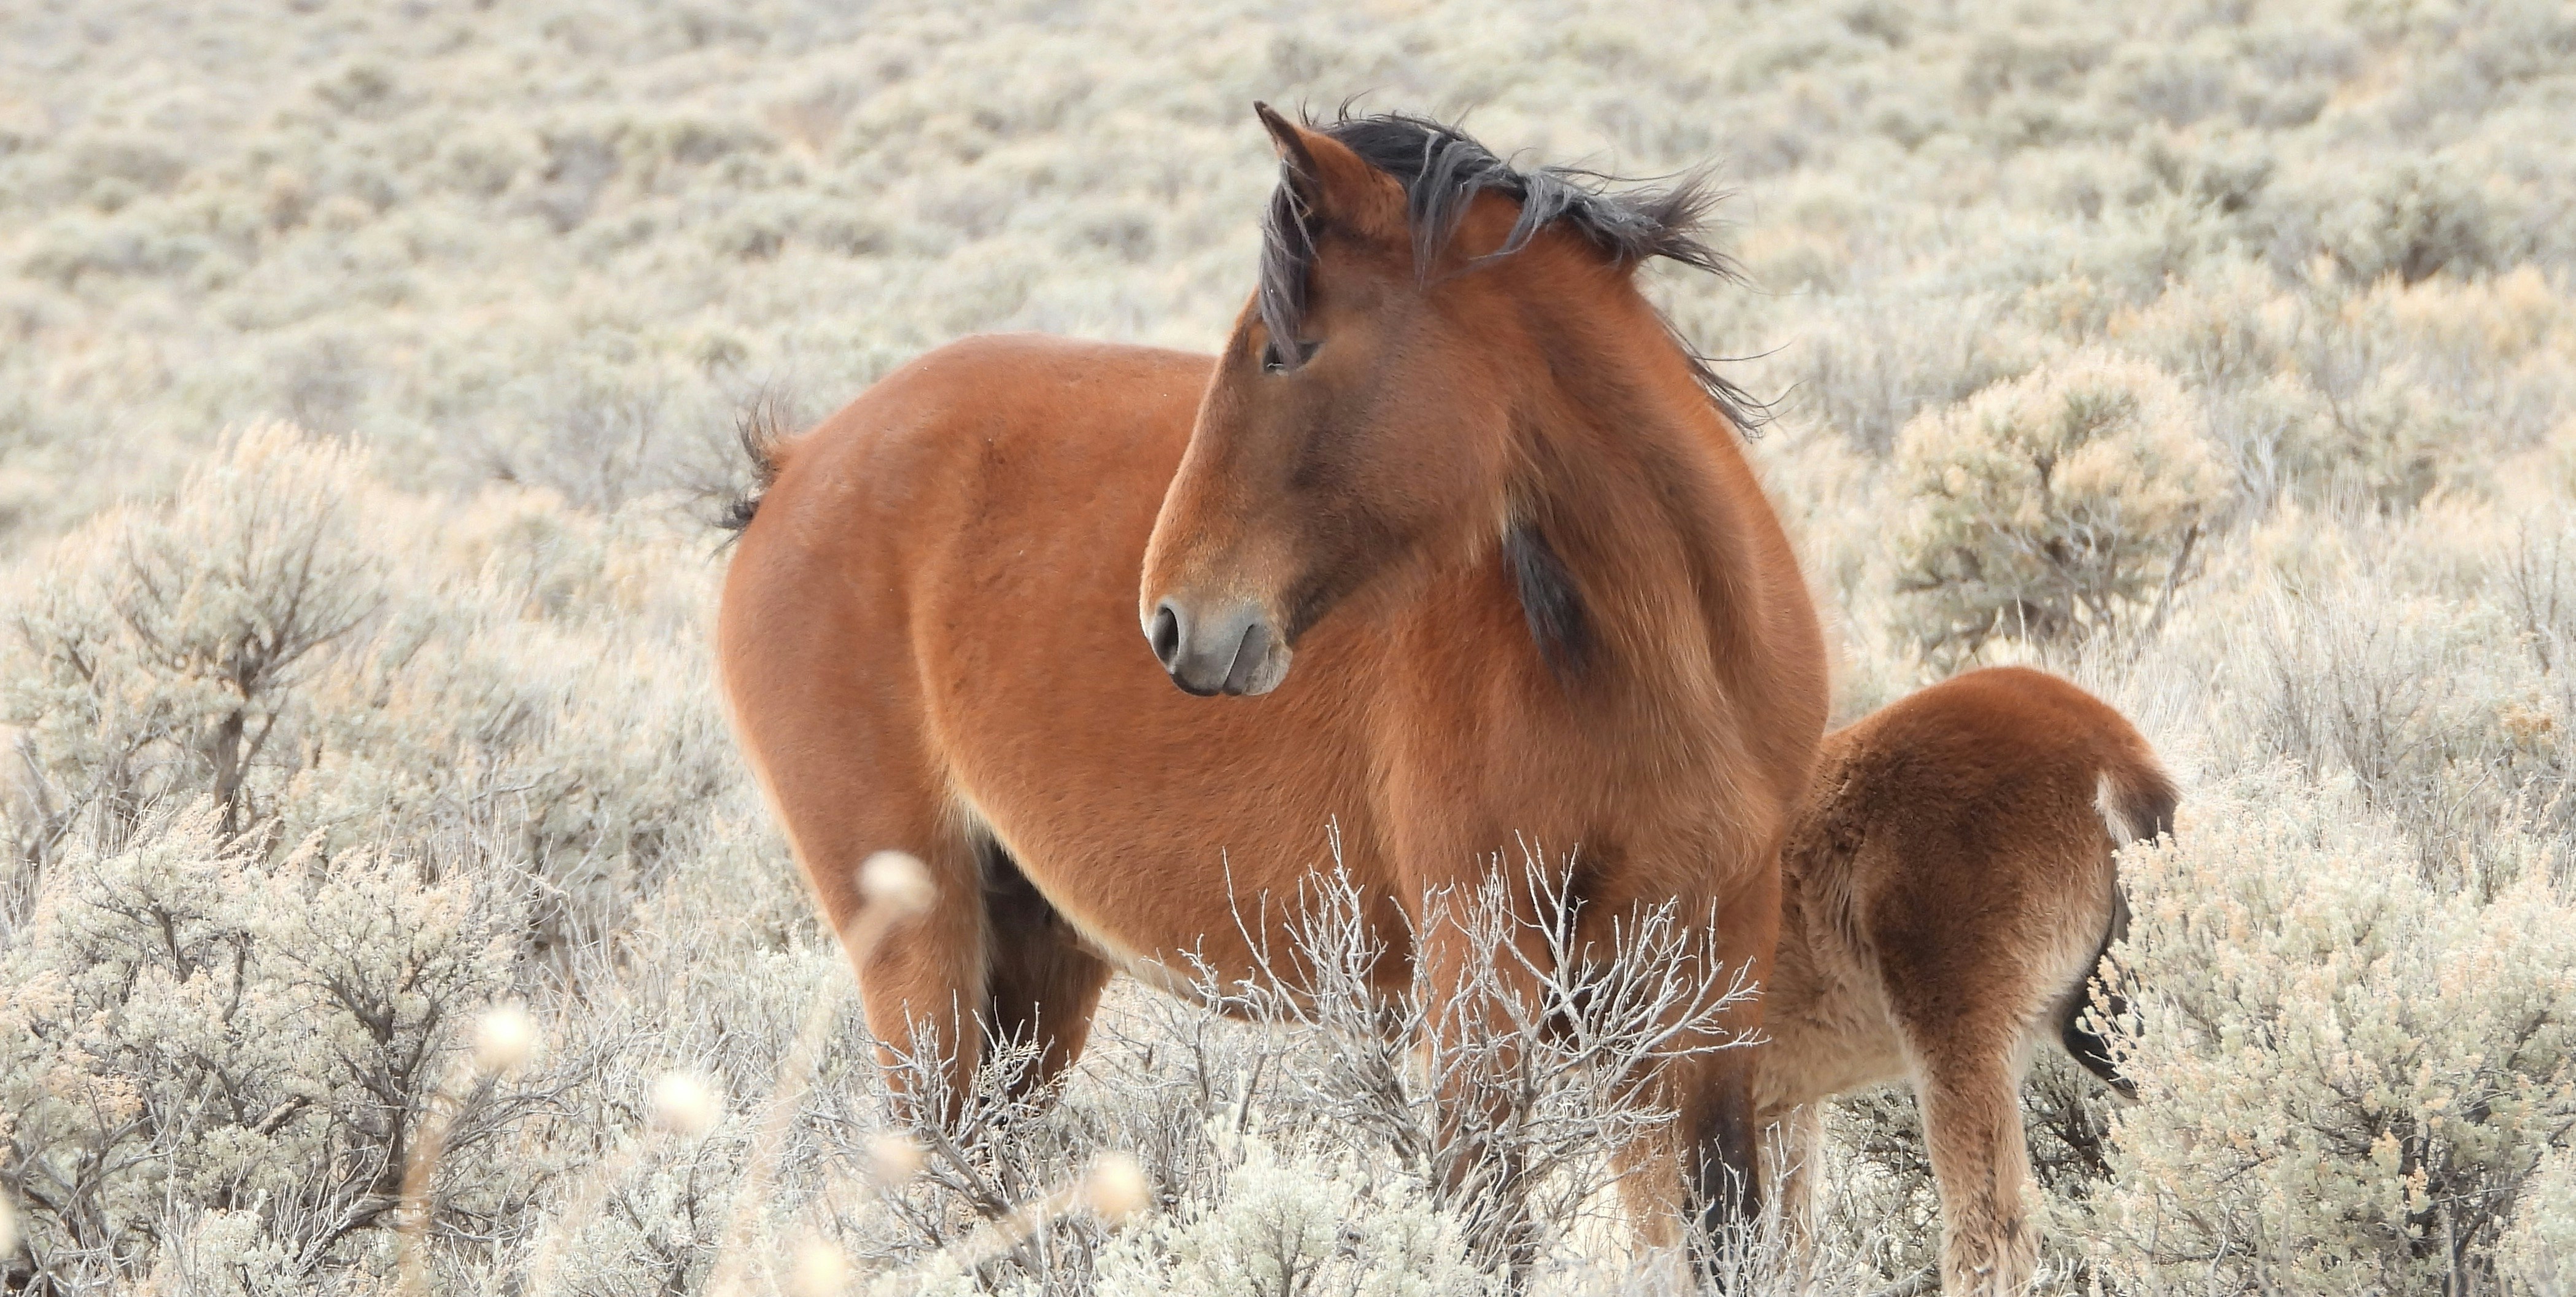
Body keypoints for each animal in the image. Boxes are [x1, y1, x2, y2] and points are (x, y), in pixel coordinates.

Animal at [716, 106, 1827, 1255]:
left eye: (1286, 351)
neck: (1665, 663)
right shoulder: (1480, 976)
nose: (1172, 621)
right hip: (921, 960)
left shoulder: (1711, 992)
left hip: (1038, 966)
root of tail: (798, 467)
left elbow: (1723, 1219)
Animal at [1755, 667, 2173, 1295]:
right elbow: (1776, 1248)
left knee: (1995, 1229)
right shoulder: (1781, 1102)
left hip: (1958, 1034)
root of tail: (2112, 750)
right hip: (2105, 1019)